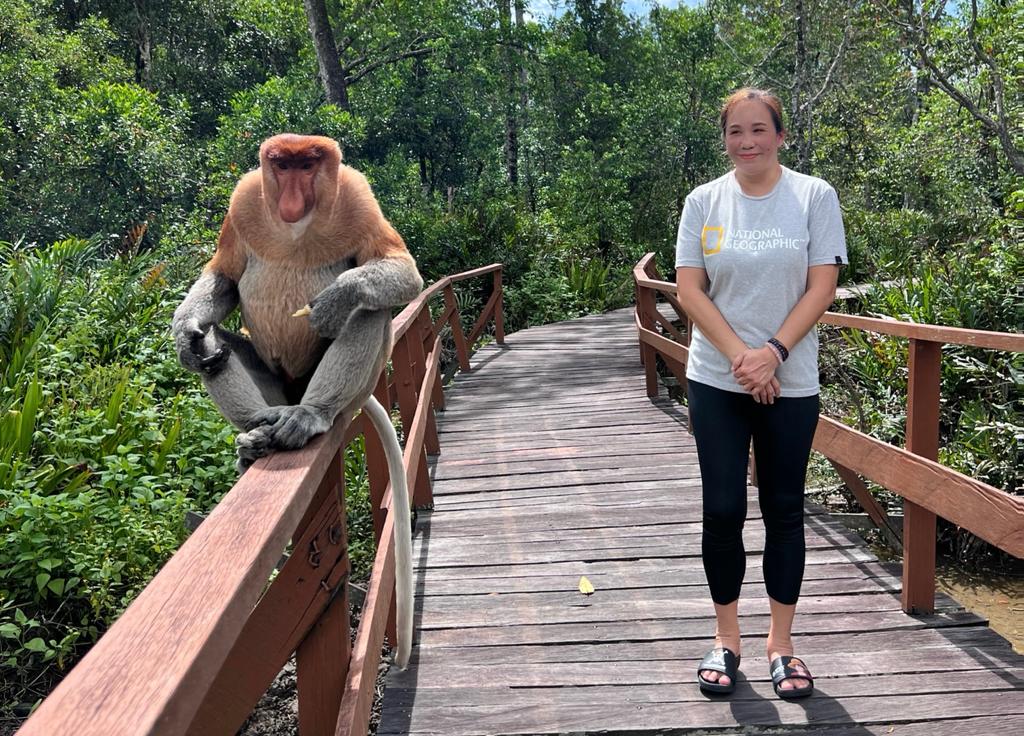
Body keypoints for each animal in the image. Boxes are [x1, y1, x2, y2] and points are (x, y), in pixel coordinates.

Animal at [171, 133, 420, 668]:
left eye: (309, 164)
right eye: (281, 165)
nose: (290, 197)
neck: (295, 232)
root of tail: (291, 395)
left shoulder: (357, 197)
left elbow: (401, 270)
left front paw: (334, 300)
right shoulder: (246, 200)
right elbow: (224, 276)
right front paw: (185, 331)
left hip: (347, 385)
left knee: (370, 313)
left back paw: (310, 416)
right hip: (272, 383)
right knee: (218, 348)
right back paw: (254, 432)